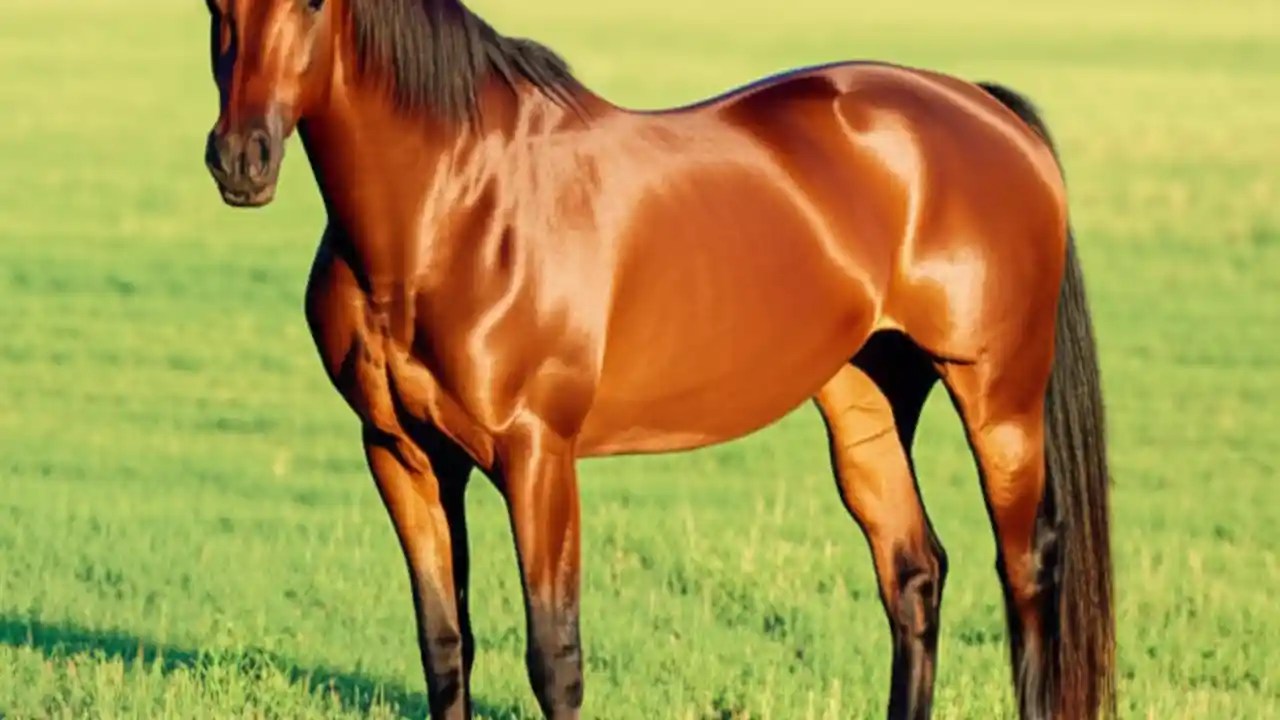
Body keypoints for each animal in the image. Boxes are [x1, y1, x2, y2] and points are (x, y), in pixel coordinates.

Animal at [200, 1, 1115, 718]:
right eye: (216, 2)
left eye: (314, 3)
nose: (241, 159)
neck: (453, 205)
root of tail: (983, 106)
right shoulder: (403, 455)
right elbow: (443, 644)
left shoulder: (538, 456)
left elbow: (554, 659)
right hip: (866, 396)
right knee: (913, 572)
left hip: (997, 397)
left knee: (1028, 574)